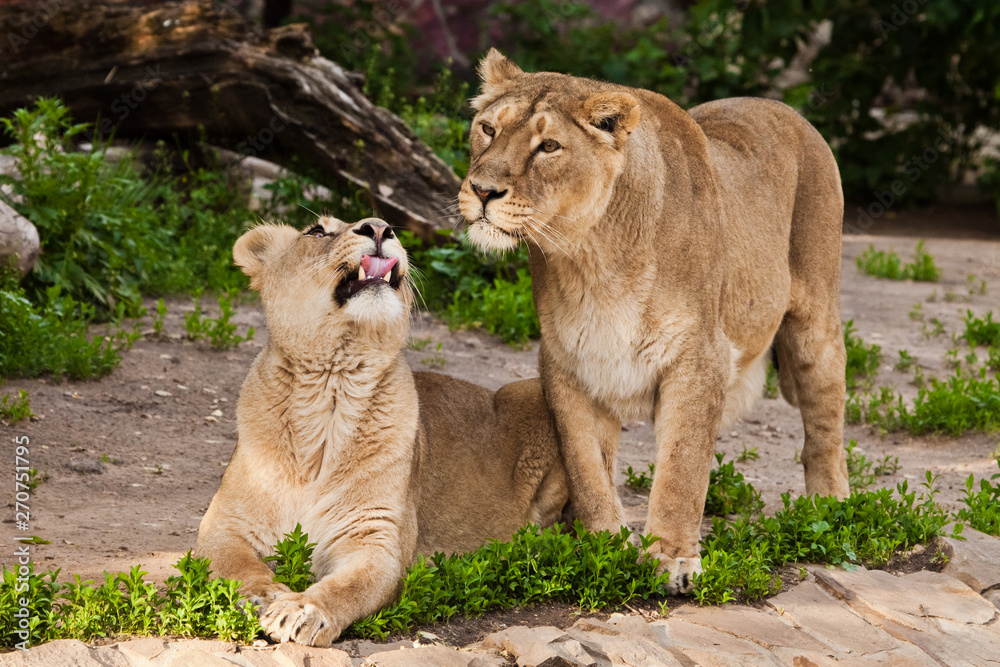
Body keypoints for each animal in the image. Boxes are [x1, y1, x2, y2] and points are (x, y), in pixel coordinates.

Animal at [194, 216, 566, 646]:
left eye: (388, 228)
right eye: (317, 231)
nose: (378, 227)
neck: (331, 391)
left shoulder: (377, 538)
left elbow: (346, 587)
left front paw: (302, 611)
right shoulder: (223, 524)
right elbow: (237, 565)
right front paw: (263, 595)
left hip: (535, 391)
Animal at [458, 49, 850, 594]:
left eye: (549, 146)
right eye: (487, 129)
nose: (481, 190)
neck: (593, 258)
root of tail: (781, 106)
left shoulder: (700, 358)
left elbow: (682, 467)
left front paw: (673, 559)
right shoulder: (569, 364)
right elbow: (588, 470)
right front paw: (604, 550)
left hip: (815, 324)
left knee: (824, 421)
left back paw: (829, 508)